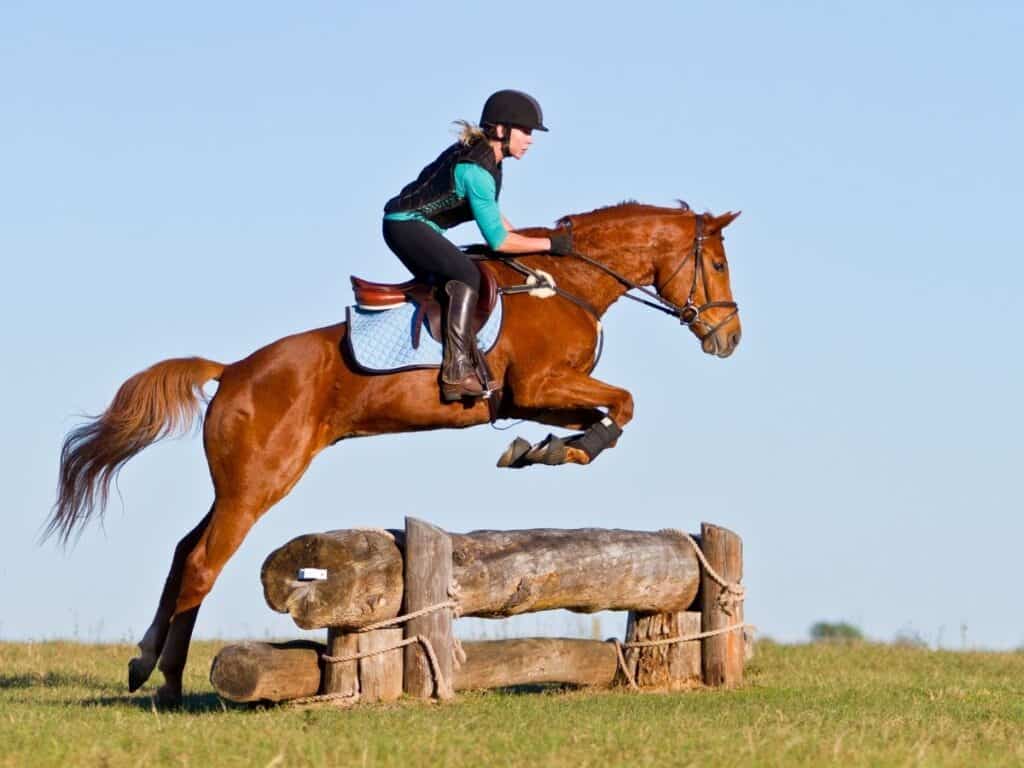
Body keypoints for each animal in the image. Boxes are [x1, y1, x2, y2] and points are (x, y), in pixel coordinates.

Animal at [47, 201, 742, 705]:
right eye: (717, 266)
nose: (729, 337)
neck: (566, 284)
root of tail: (234, 370)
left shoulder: (538, 398)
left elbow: (607, 414)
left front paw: (539, 450)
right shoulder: (539, 385)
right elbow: (624, 403)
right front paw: (550, 453)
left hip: (242, 482)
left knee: (183, 550)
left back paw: (143, 664)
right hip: (260, 481)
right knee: (200, 564)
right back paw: (166, 685)